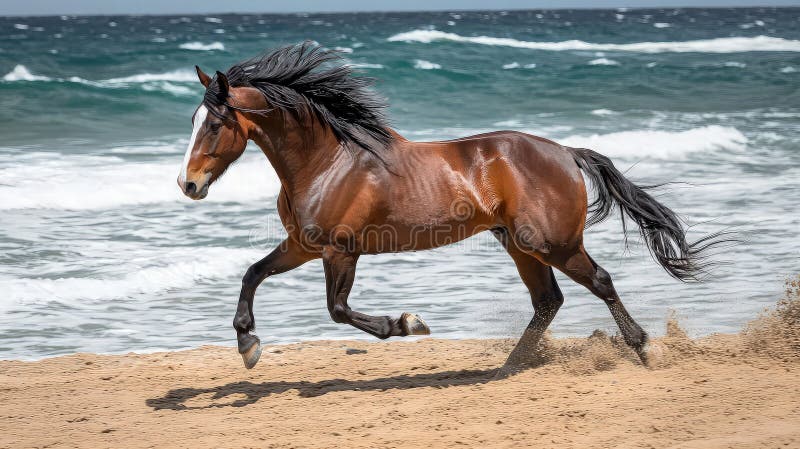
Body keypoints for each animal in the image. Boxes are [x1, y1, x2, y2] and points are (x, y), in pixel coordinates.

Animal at [178, 42, 722, 370]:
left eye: (214, 124)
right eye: (193, 120)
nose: (188, 184)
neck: (327, 162)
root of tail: (566, 152)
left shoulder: (339, 251)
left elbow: (338, 310)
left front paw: (408, 323)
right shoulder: (303, 245)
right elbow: (252, 274)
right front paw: (248, 346)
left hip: (553, 243)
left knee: (600, 283)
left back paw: (643, 348)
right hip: (520, 245)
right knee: (548, 301)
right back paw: (512, 366)